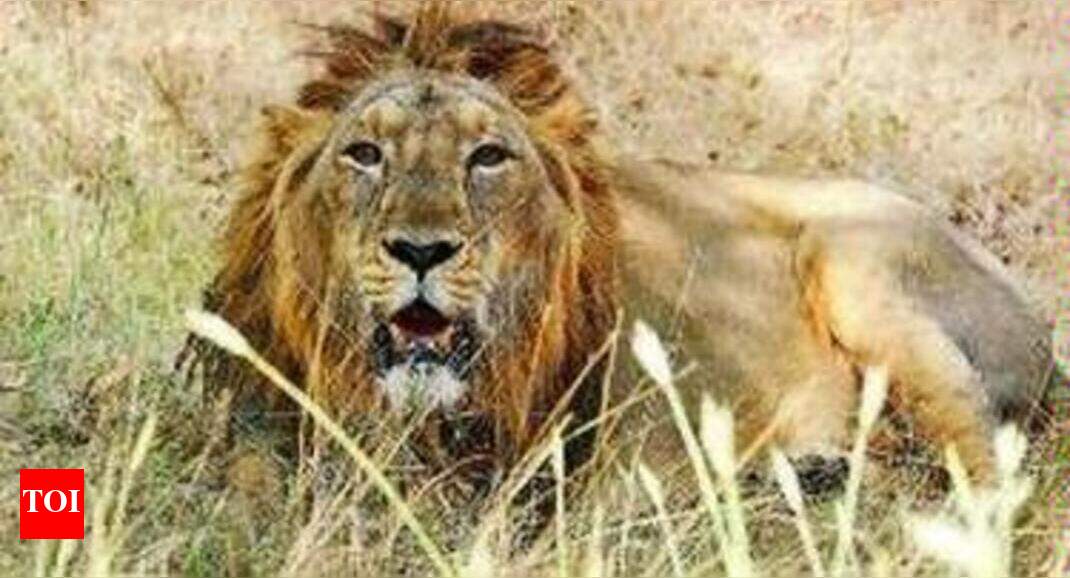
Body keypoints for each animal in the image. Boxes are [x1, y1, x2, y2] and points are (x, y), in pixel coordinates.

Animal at [181, 1, 1058, 500]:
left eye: (488, 158)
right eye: (364, 154)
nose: (420, 250)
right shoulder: (259, 422)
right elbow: (246, 486)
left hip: (855, 258)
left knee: (987, 472)